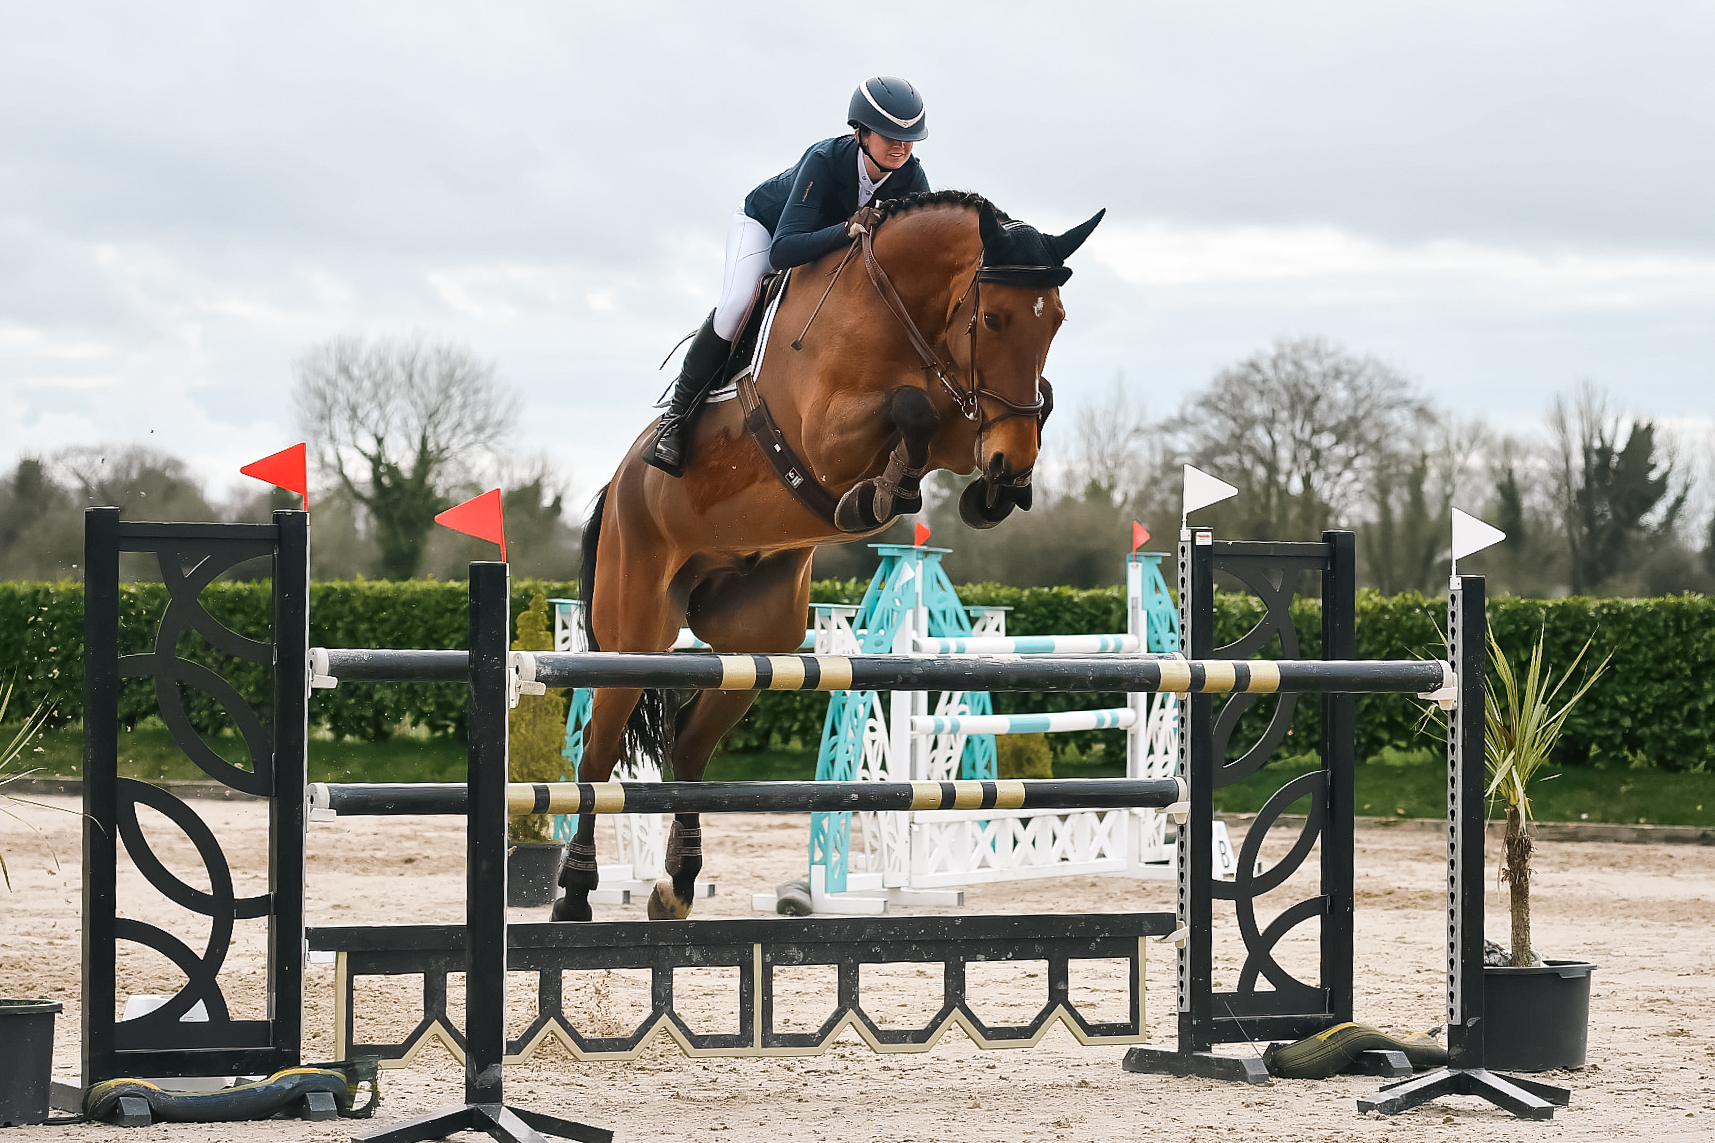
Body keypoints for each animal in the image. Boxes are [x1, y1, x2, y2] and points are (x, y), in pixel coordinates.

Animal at [554, 190, 1104, 922]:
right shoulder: (827, 437)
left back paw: (677, 884)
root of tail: (616, 486)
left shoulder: (964, 416)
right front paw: (881, 495)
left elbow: (976, 414)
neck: (901, 310)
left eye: (1057, 322)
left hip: (759, 641)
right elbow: (910, 408)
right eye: (992, 318)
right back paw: (575, 893)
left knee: (690, 740)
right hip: (634, 632)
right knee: (597, 755)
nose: (1008, 463)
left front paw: (988, 491)